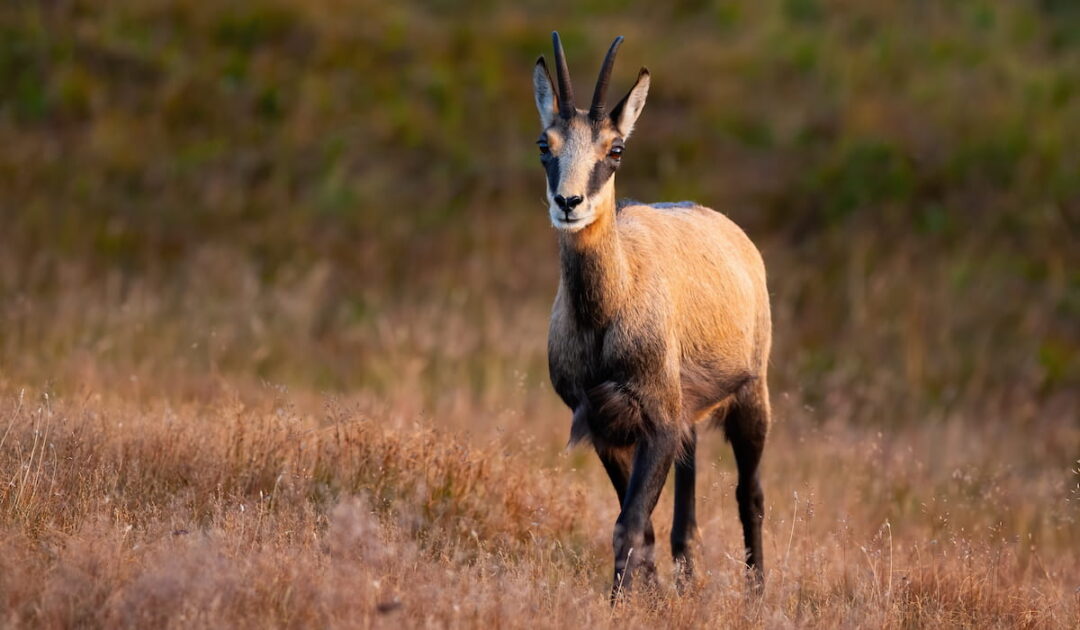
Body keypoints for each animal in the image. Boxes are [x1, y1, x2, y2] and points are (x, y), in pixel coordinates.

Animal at [534, 33, 772, 596]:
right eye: (544, 145)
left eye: (615, 148)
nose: (569, 202)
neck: (607, 313)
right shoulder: (605, 423)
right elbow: (638, 527)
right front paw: (648, 594)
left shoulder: (656, 421)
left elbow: (631, 523)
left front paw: (625, 601)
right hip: (688, 413)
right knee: (689, 502)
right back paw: (687, 576)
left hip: (752, 394)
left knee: (750, 494)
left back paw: (758, 593)